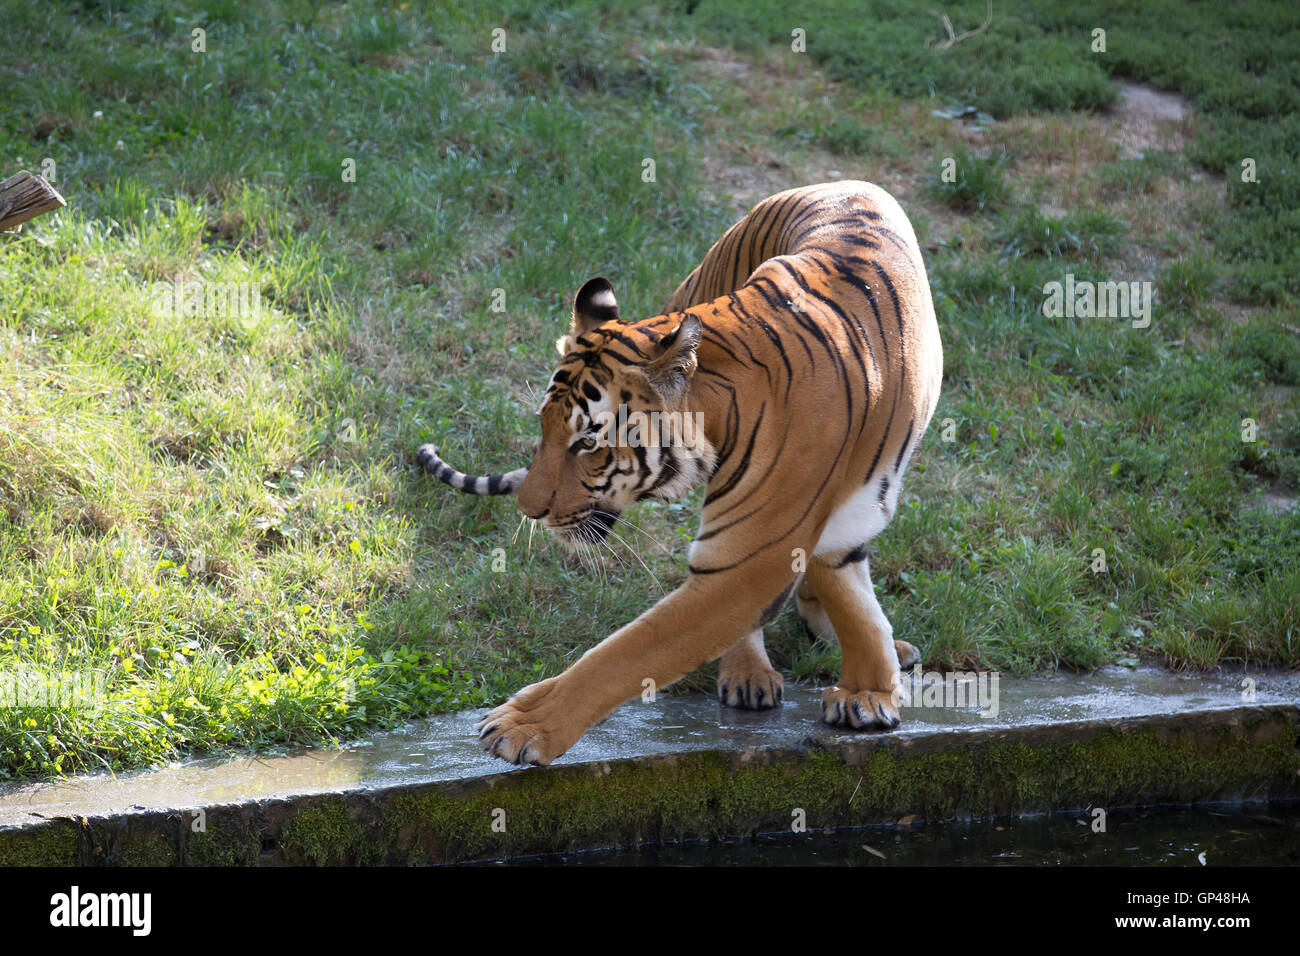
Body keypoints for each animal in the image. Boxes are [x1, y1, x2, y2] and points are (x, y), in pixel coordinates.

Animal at [417, 180, 943, 766]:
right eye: (544, 427)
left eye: (586, 442)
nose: (530, 510)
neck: (727, 406)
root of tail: (831, 183)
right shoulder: (761, 550)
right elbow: (843, 595)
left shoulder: (752, 560)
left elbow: (625, 653)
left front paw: (521, 724)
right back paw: (749, 672)